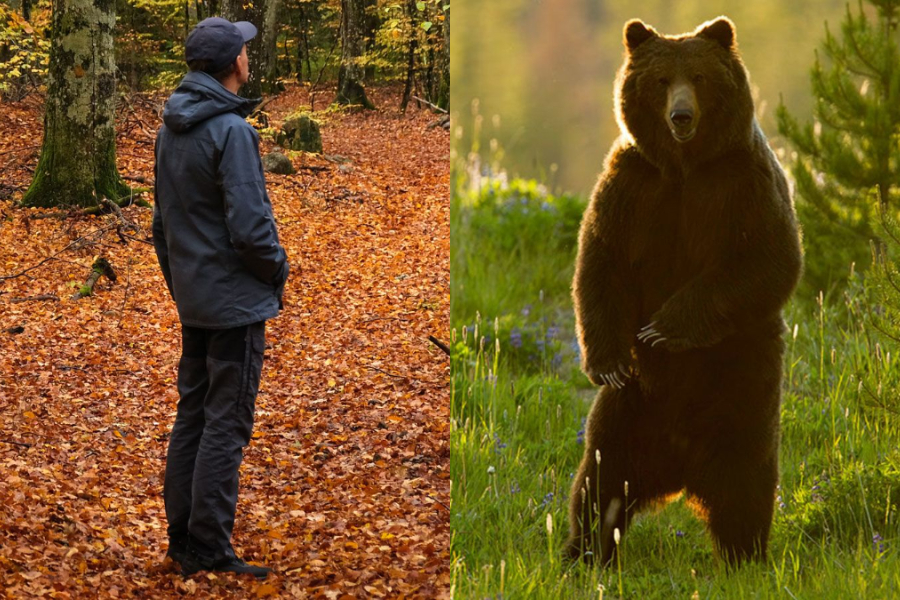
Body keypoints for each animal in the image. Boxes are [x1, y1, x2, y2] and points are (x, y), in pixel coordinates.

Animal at [565, 17, 803, 567]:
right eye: (660, 80)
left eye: (698, 77)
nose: (681, 115)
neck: (684, 166)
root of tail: (678, 470)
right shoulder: (633, 185)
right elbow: (601, 261)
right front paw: (608, 360)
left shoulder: (744, 182)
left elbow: (769, 259)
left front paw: (662, 328)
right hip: (630, 409)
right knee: (600, 479)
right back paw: (581, 555)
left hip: (744, 388)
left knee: (746, 483)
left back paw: (744, 557)